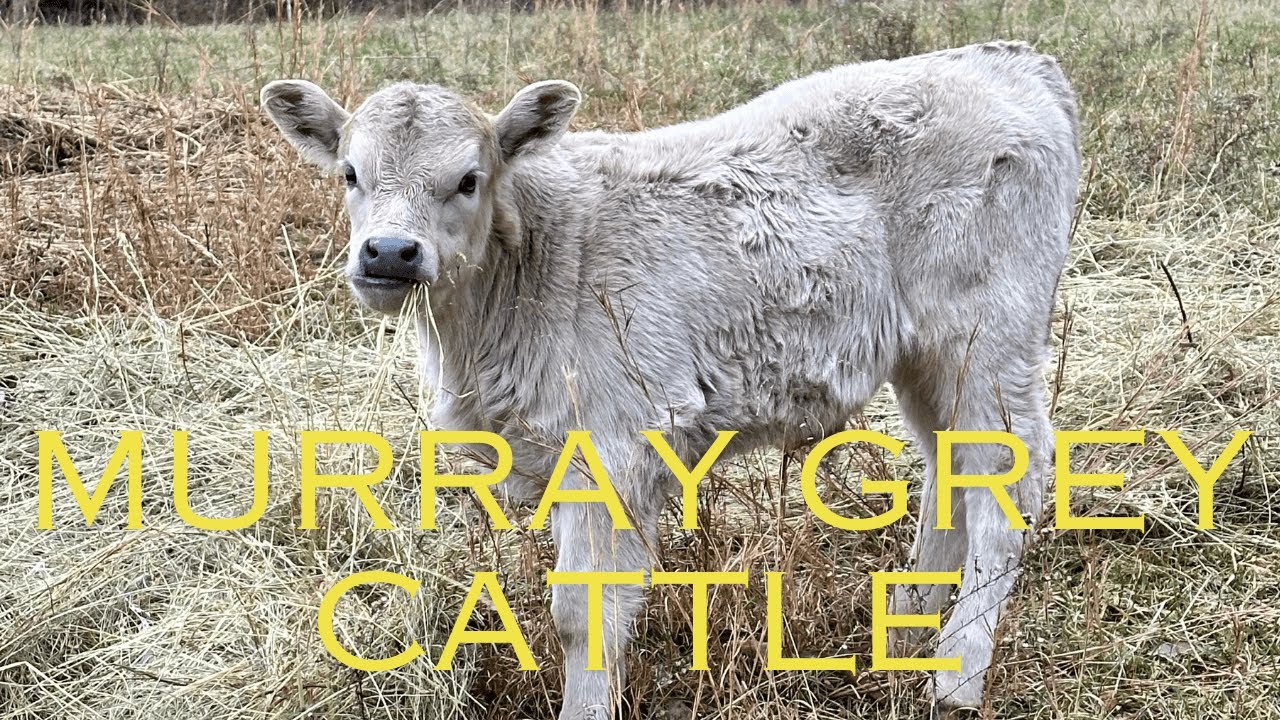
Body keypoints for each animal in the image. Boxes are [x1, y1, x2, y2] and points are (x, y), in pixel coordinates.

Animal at [261, 40, 1079, 719]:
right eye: (350, 174)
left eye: (468, 180)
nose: (389, 252)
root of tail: (1013, 61)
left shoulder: (616, 447)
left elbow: (581, 613)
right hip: (924, 358)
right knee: (951, 469)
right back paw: (907, 627)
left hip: (987, 337)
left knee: (1009, 484)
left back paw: (956, 676)